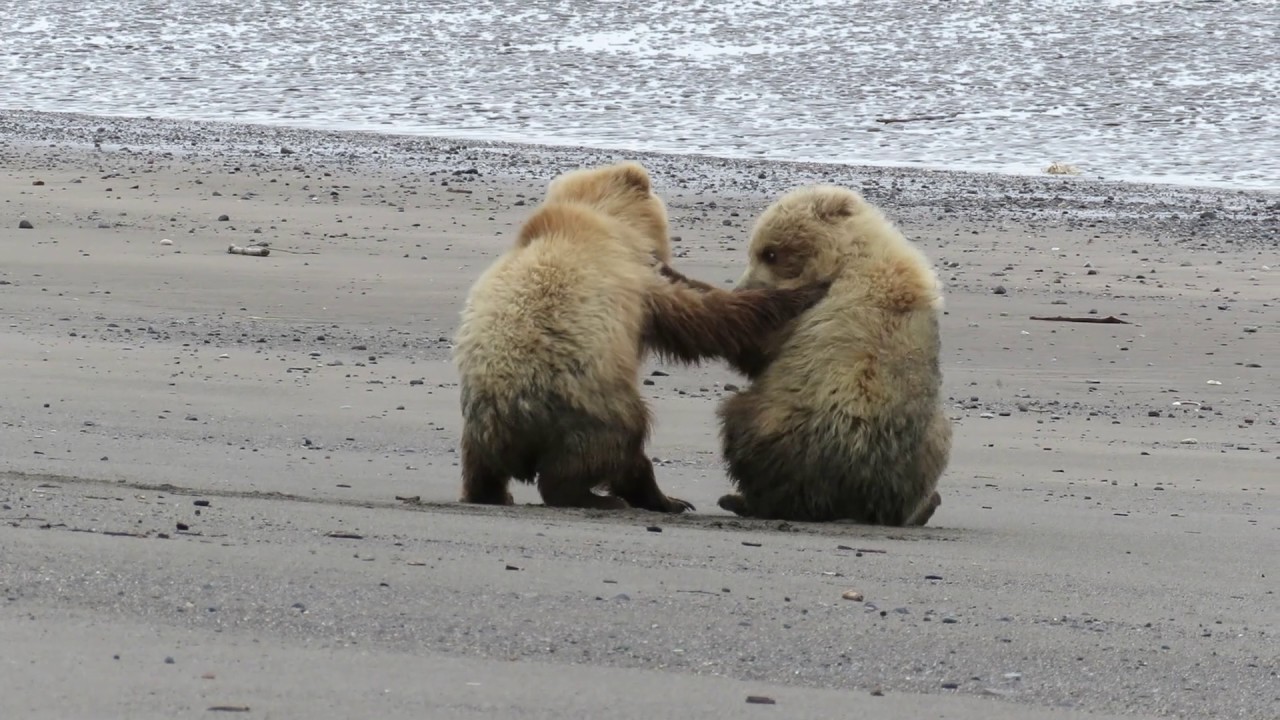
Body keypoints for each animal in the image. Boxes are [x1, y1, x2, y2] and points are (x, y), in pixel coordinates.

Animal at [452, 162, 831, 514]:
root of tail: (515, 413)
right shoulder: (631, 279)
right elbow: (700, 315)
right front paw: (805, 292)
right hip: (591, 402)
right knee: (616, 449)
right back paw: (638, 499)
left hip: (483, 422)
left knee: (480, 464)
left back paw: (490, 492)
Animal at [706, 184, 951, 526]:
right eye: (758, 250)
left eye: (769, 252)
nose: (741, 289)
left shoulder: (808, 310)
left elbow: (759, 348)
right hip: (927, 443)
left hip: (785, 425)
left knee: (742, 425)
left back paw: (742, 499)